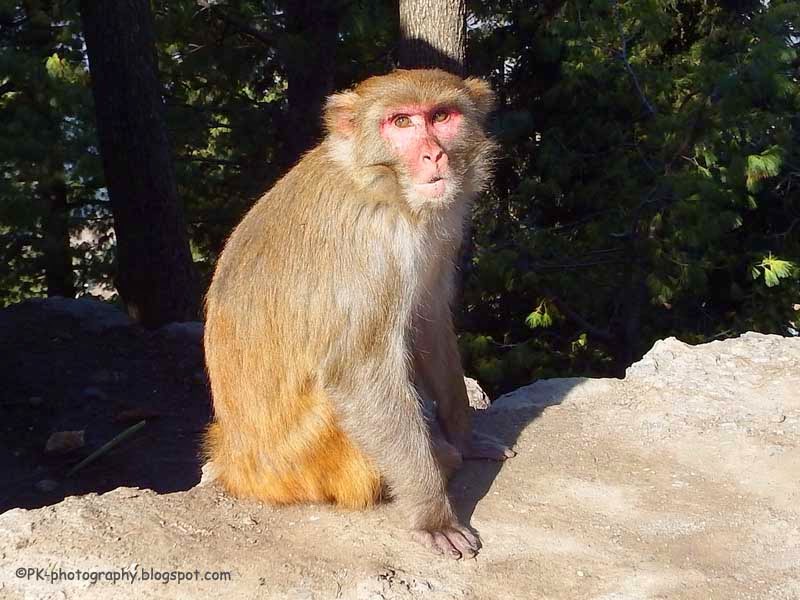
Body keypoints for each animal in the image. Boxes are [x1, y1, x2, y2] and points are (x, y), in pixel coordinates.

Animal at [203, 69, 514, 559]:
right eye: (401, 122)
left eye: (441, 116)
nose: (433, 153)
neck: (381, 184)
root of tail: (236, 459)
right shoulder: (372, 243)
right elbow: (359, 373)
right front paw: (433, 514)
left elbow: (427, 322)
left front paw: (465, 437)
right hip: (310, 454)